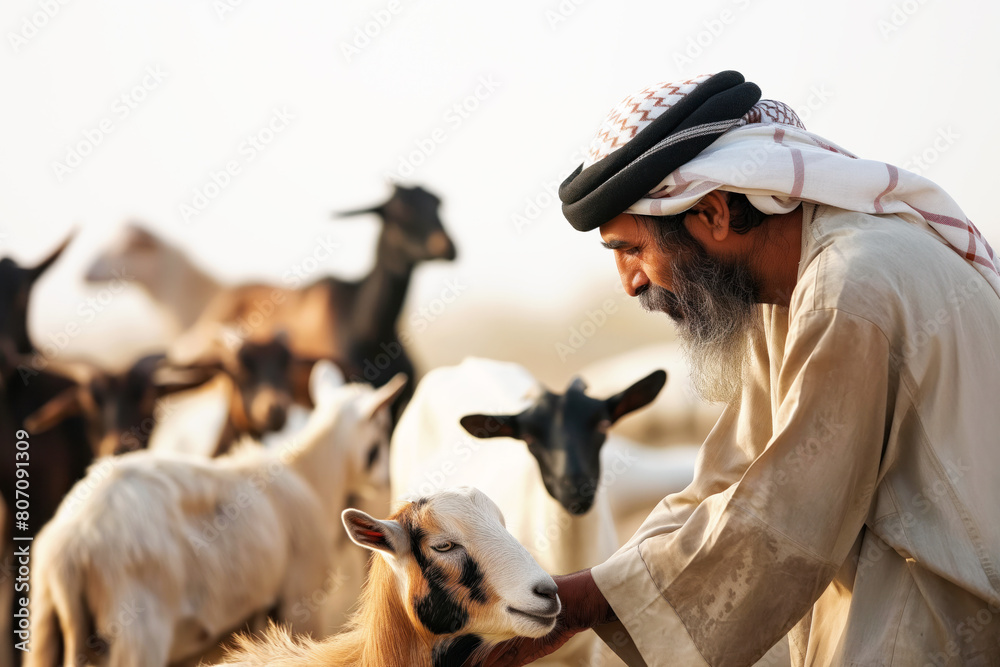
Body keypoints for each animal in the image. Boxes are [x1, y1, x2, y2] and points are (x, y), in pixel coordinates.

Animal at [25, 367, 407, 667]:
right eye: (382, 426)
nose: (388, 482)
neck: (310, 475)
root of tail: (71, 546)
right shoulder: (300, 598)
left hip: (45, 626)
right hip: (137, 631)